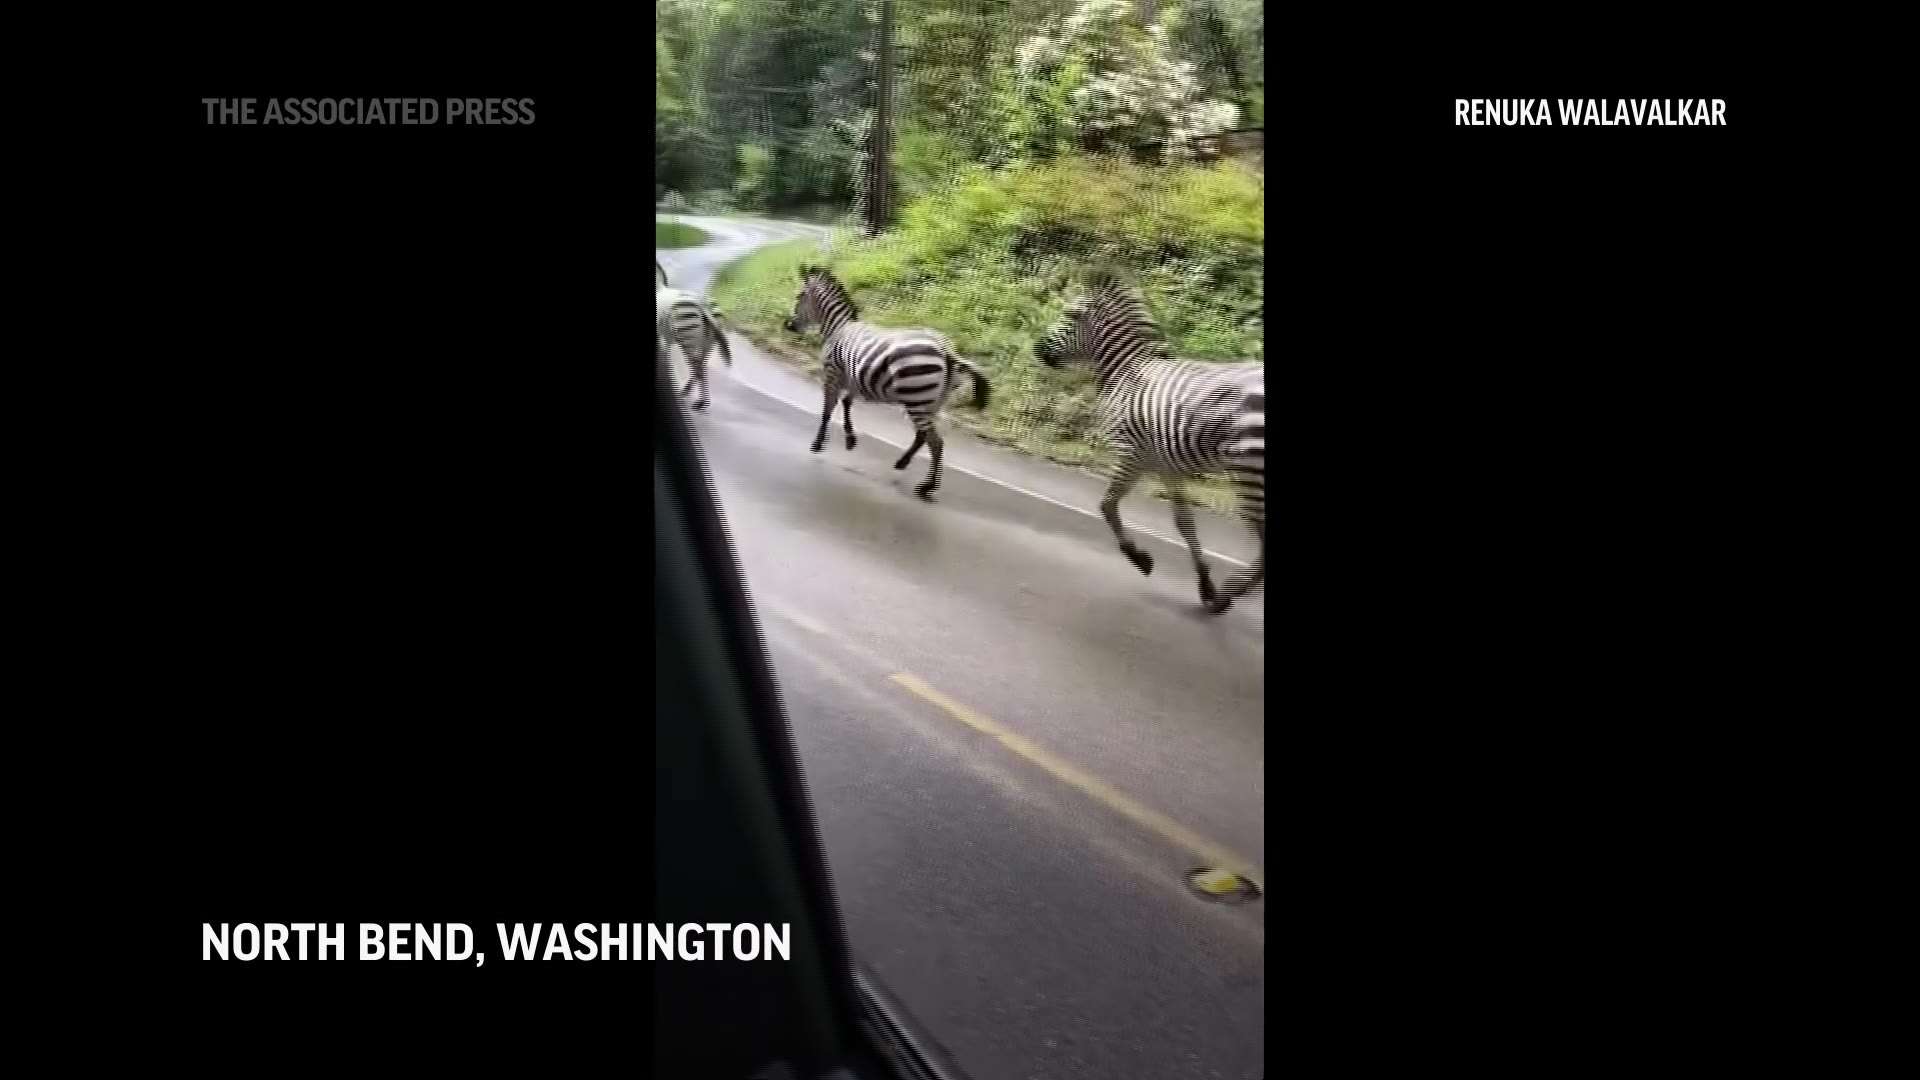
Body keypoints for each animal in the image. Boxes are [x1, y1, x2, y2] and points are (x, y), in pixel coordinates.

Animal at [784, 266, 991, 500]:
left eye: (799, 296)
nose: (788, 325)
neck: (838, 328)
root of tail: (947, 351)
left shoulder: (832, 375)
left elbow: (827, 410)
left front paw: (818, 444)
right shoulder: (853, 379)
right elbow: (846, 404)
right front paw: (850, 440)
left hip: (917, 399)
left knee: (935, 441)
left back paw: (927, 487)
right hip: (932, 402)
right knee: (923, 436)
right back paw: (903, 464)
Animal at [1036, 271, 1264, 613]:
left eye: (1070, 315)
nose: (1038, 349)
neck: (1125, 372)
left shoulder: (1133, 454)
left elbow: (1107, 505)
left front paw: (1139, 558)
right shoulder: (1167, 464)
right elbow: (1184, 522)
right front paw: (1205, 584)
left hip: (1249, 475)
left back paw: (1233, 591)